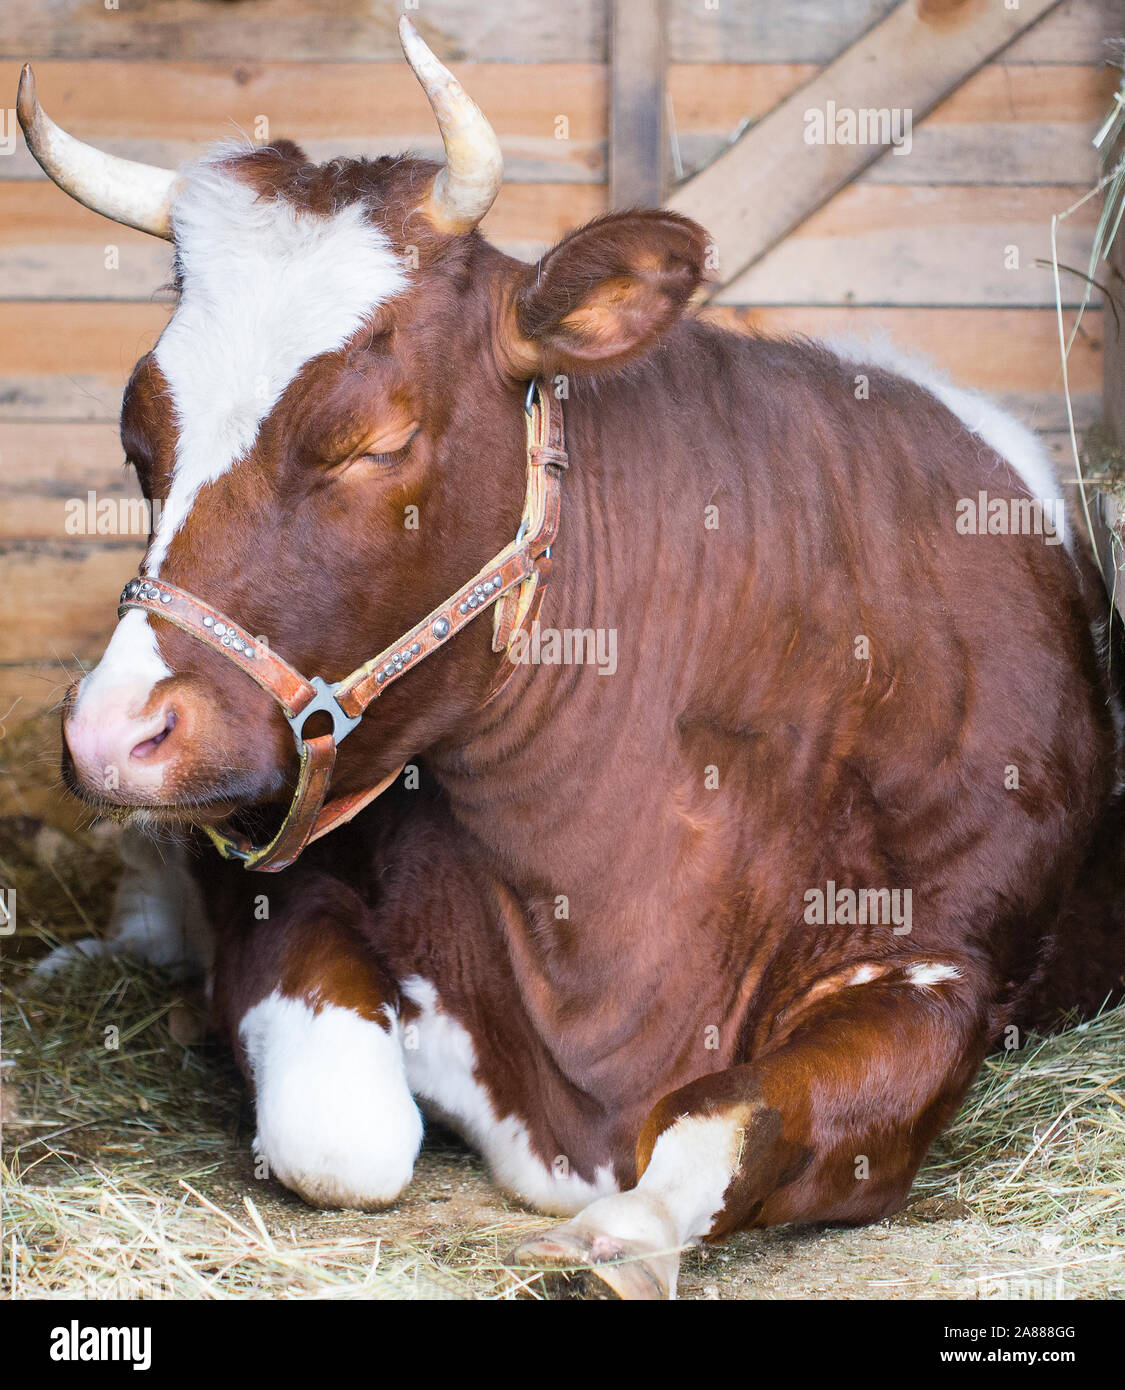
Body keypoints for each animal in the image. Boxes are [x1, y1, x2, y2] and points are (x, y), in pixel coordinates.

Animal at [20, 18, 1125, 1299]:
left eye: (375, 439)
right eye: (136, 437)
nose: (113, 729)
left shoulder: (946, 966)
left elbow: (735, 1116)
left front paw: (625, 1233)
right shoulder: (285, 885)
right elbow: (347, 1132)